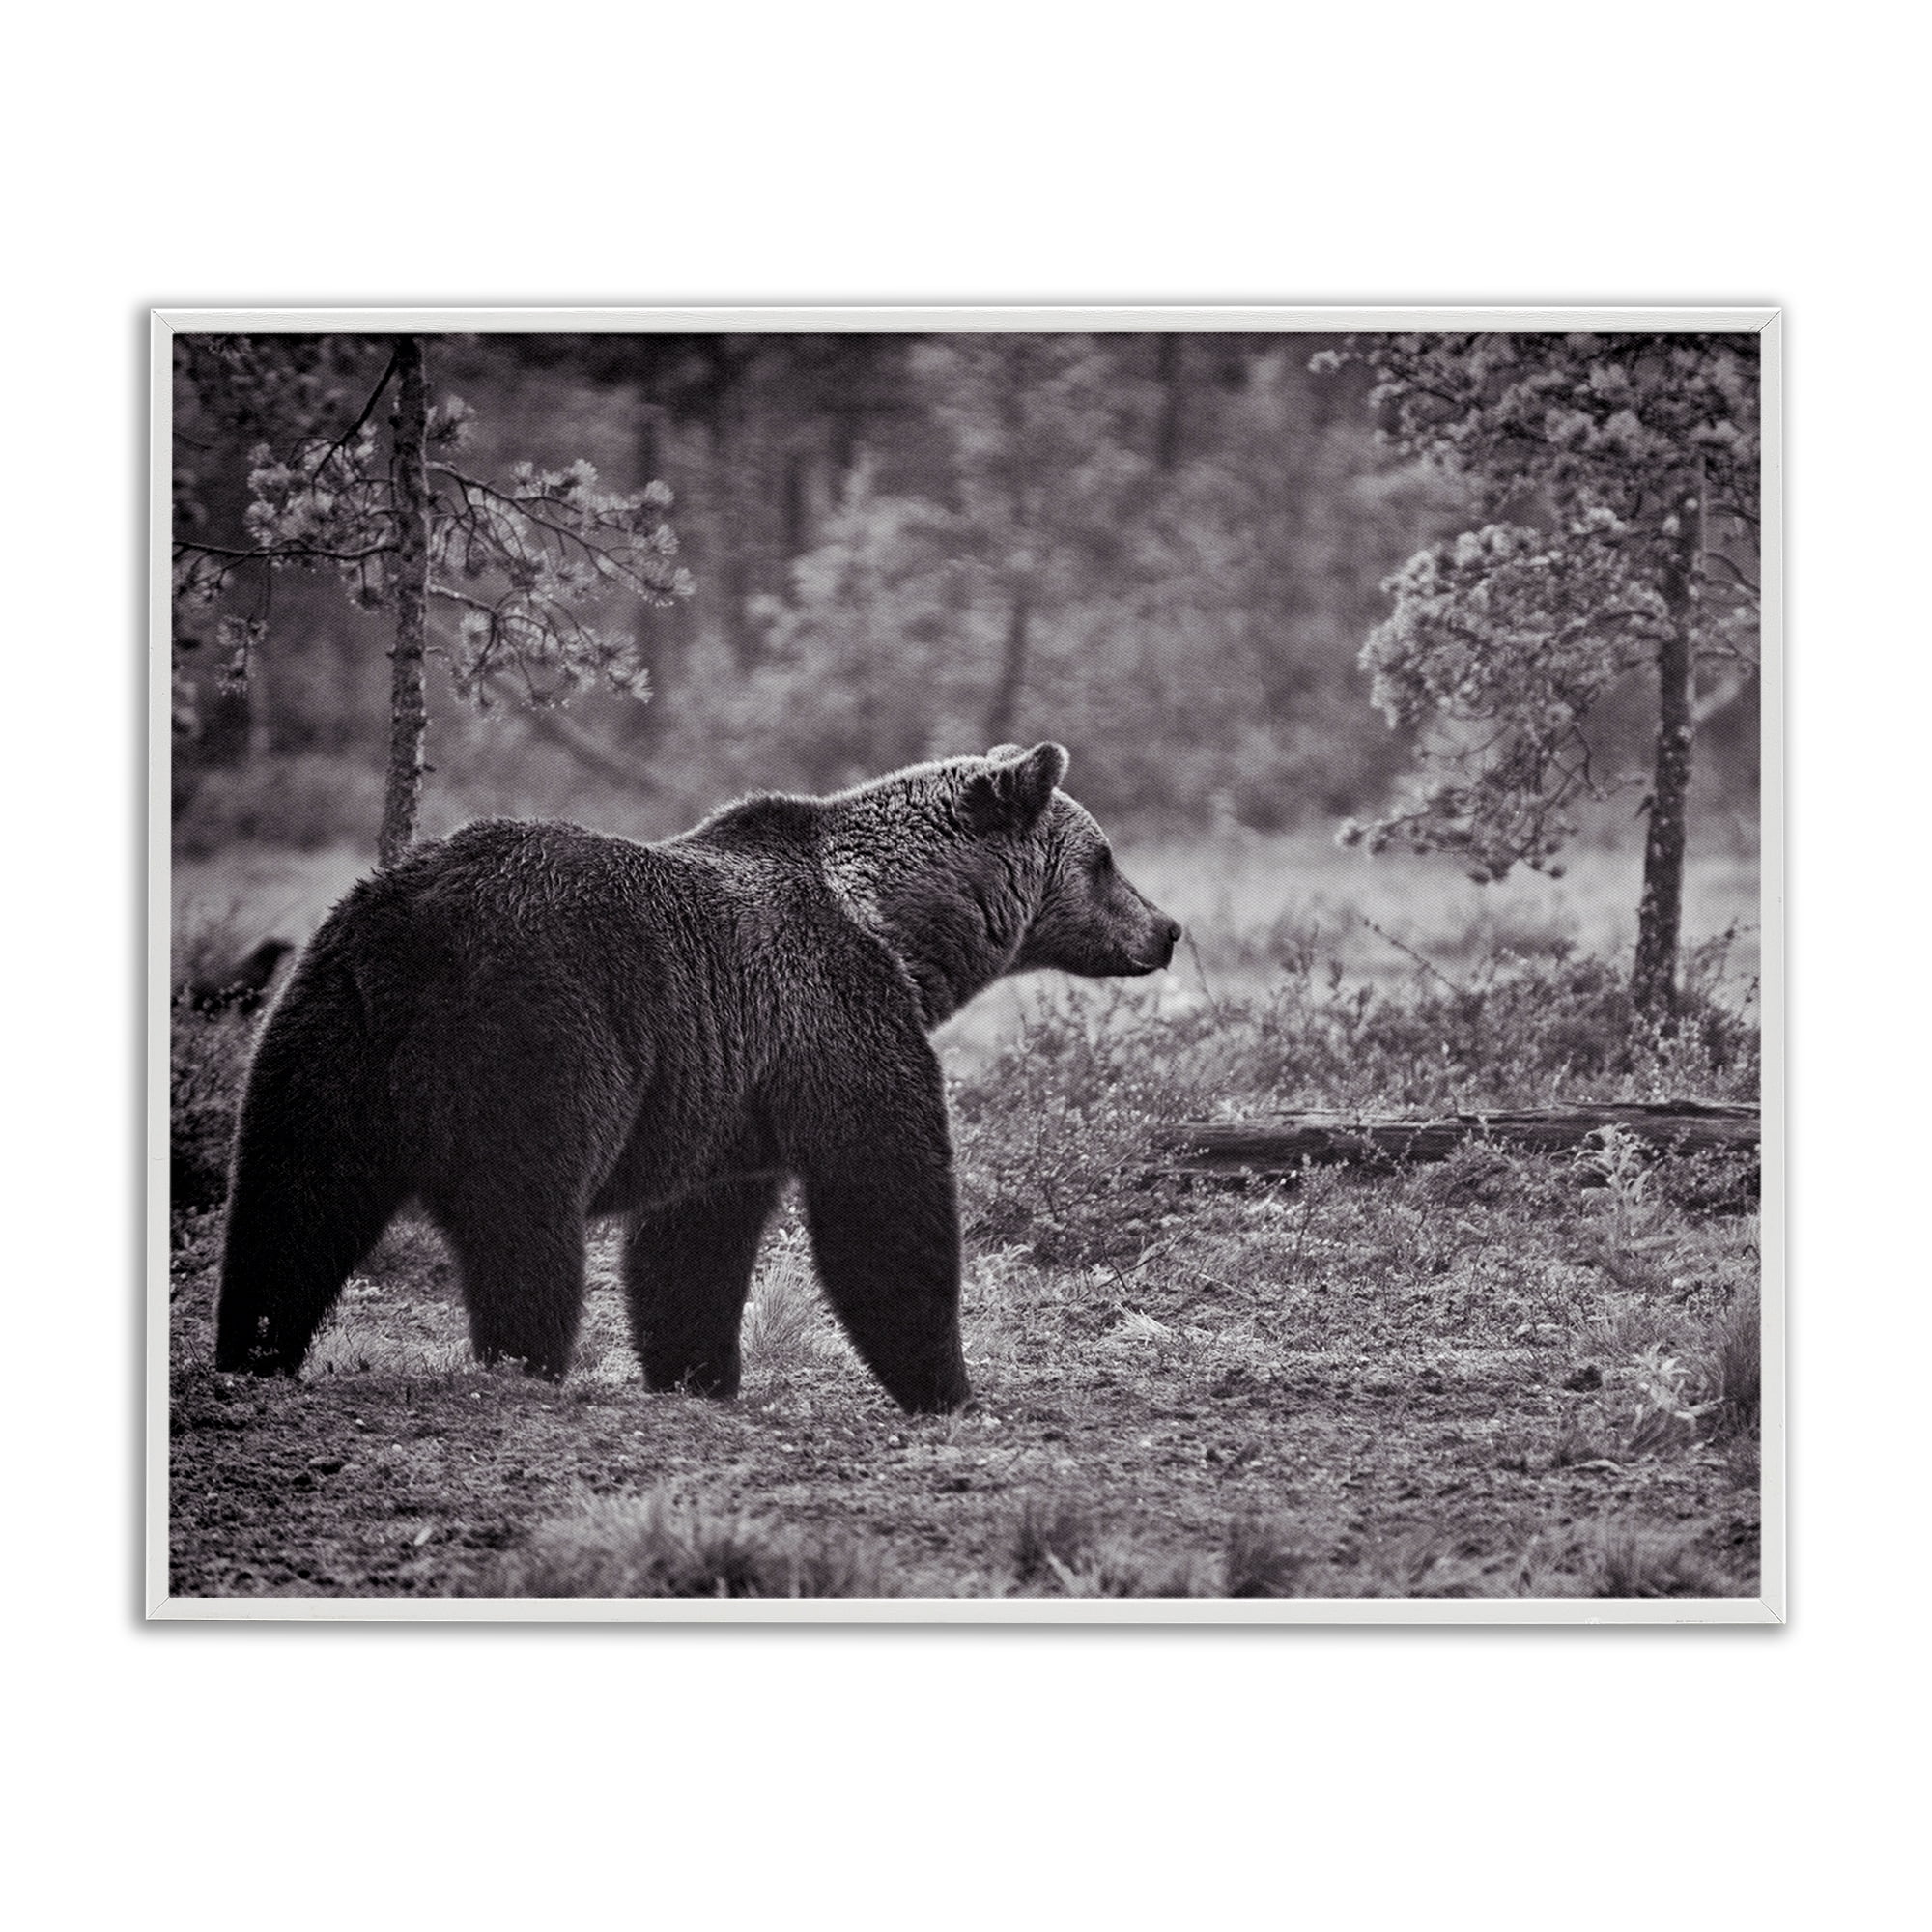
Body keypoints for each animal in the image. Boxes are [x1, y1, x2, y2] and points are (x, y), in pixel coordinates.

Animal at [214, 741, 1181, 1414]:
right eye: (1104, 859)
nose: (1167, 928)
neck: (896, 929)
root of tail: (413, 926)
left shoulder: (729, 1089)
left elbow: (693, 1241)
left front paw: (696, 1372)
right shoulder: (834, 1016)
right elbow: (884, 1196)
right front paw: (945, 1385)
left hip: (325, 1029)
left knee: (290, 1203)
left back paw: (254, 1351)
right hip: (539, 1031)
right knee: (524, 1216)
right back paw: (524, 1362)